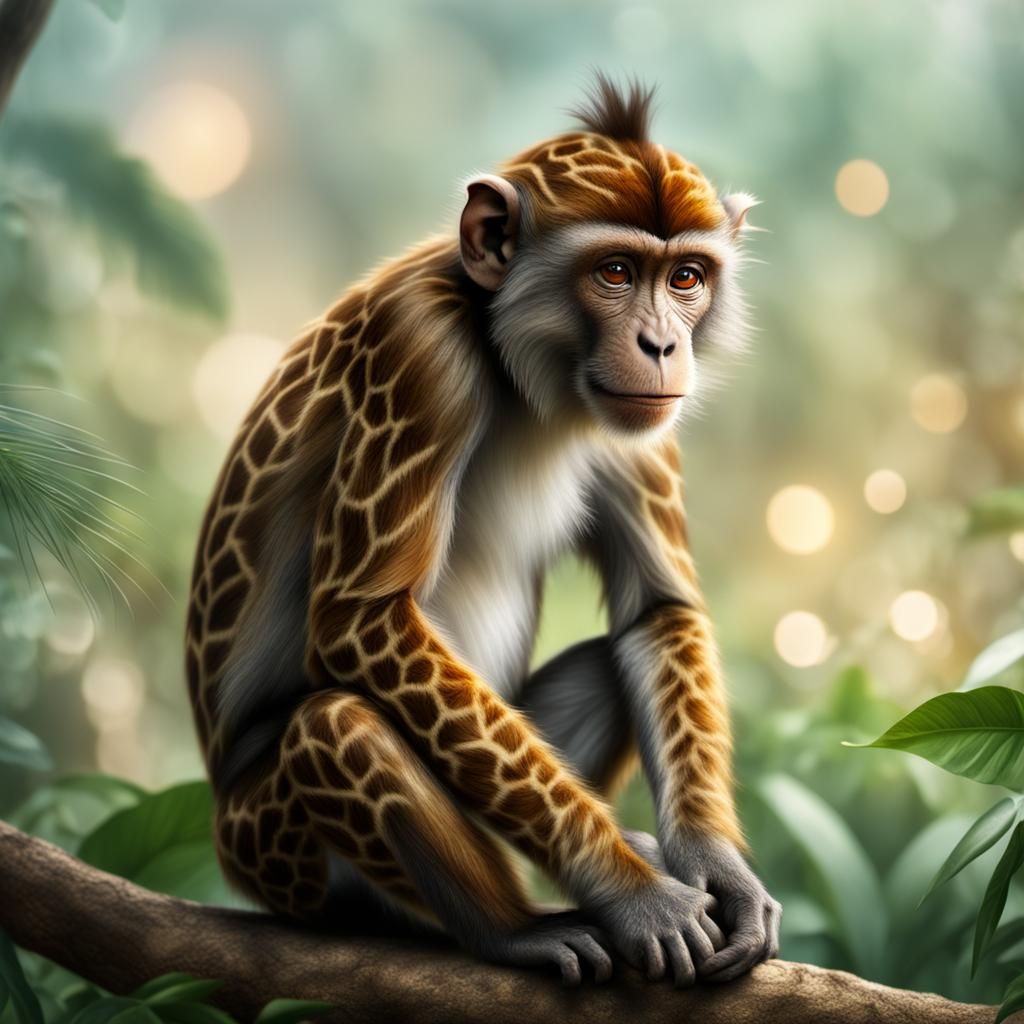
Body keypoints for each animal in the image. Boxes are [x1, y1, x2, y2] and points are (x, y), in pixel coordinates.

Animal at [185, 75, 781, 988]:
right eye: (615, 272)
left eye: (686, 277)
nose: (661, 344)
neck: (515, 357)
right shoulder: (417, 352)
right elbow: (362, 623)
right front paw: (632, 892)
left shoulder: (642, 415)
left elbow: (658, 611)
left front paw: (716, 866)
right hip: (271, 855)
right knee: (337, 728)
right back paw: (509, 926)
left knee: (608, 665)